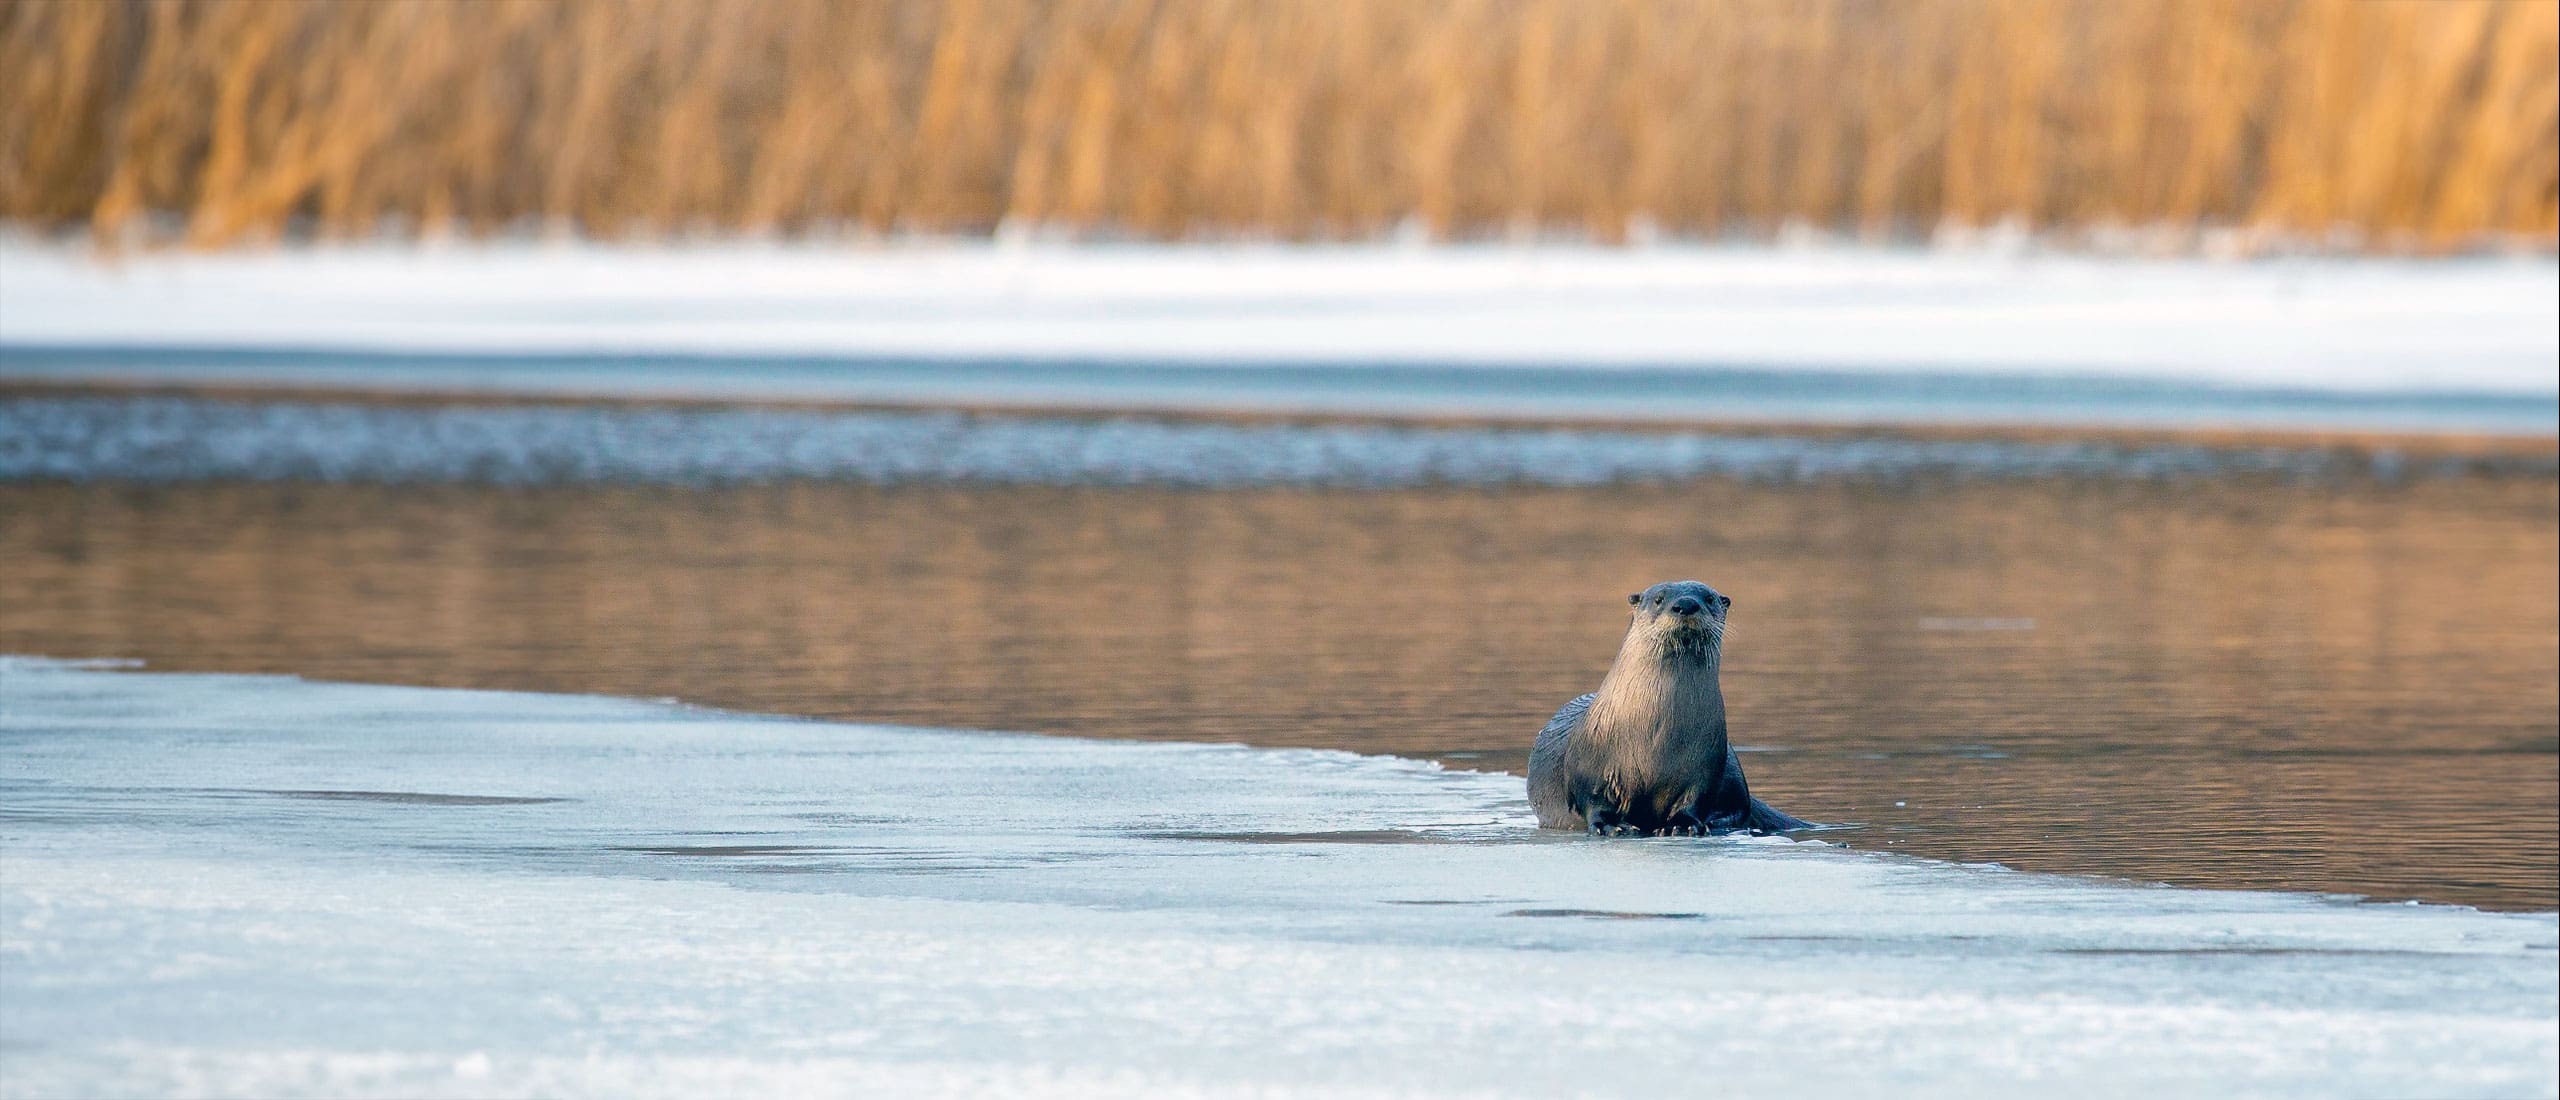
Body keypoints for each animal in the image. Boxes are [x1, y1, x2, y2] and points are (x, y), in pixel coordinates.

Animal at [1528, 580, 1810, 836]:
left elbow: (1694, 800)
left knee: (1740, 808)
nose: (1685, 604)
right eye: (1658, 599)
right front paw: (1612, 825)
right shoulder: (1590, 767)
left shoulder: (1705, 767)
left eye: (1709, 599)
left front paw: (1682, 825)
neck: (1653, 733)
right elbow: (1593, 802)